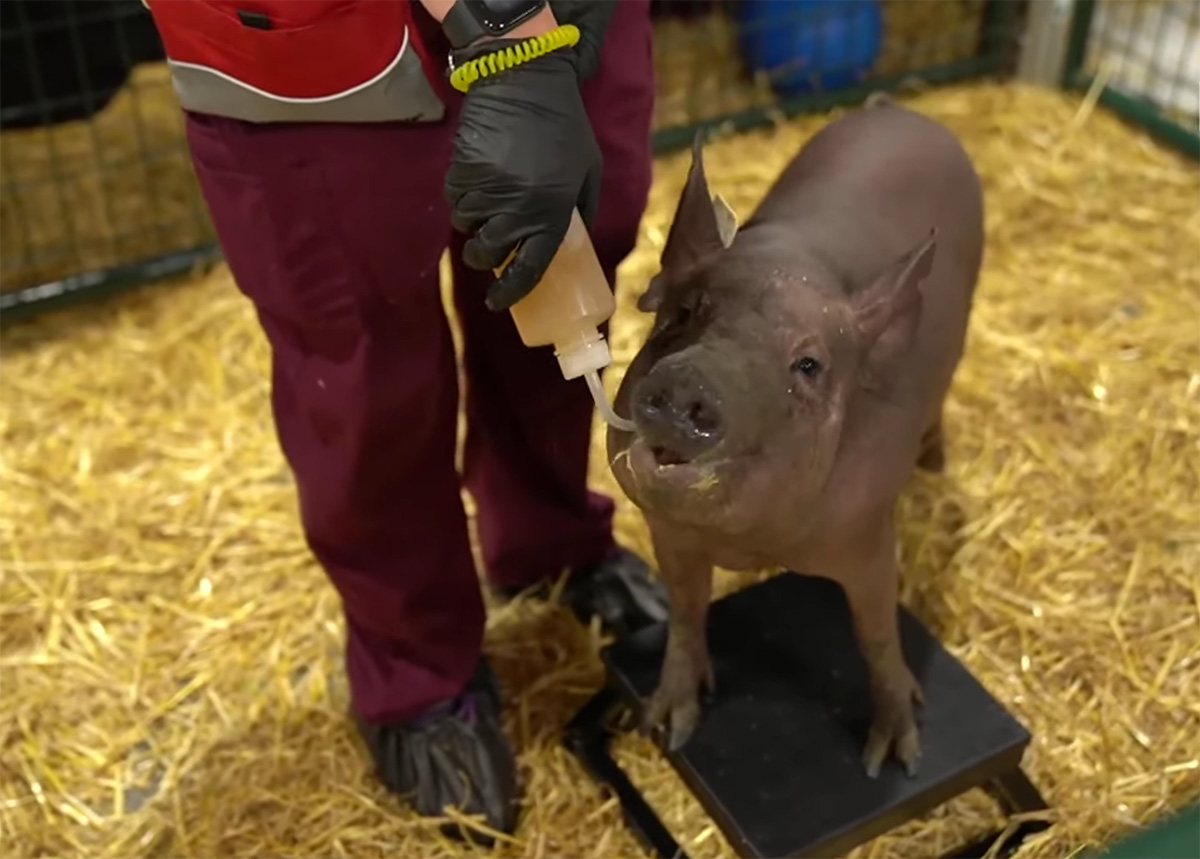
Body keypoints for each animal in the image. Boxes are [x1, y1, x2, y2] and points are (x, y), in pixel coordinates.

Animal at [605, 96, 984, 778]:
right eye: (683, 313)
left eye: (808, 365)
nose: (690, 380)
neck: (754, 542)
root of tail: (902, 112)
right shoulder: (671, 535)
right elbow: (685, 614)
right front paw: (669, 726)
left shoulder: (867, 537)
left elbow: (876, 634)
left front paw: (894, 761)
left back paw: (935, 465)